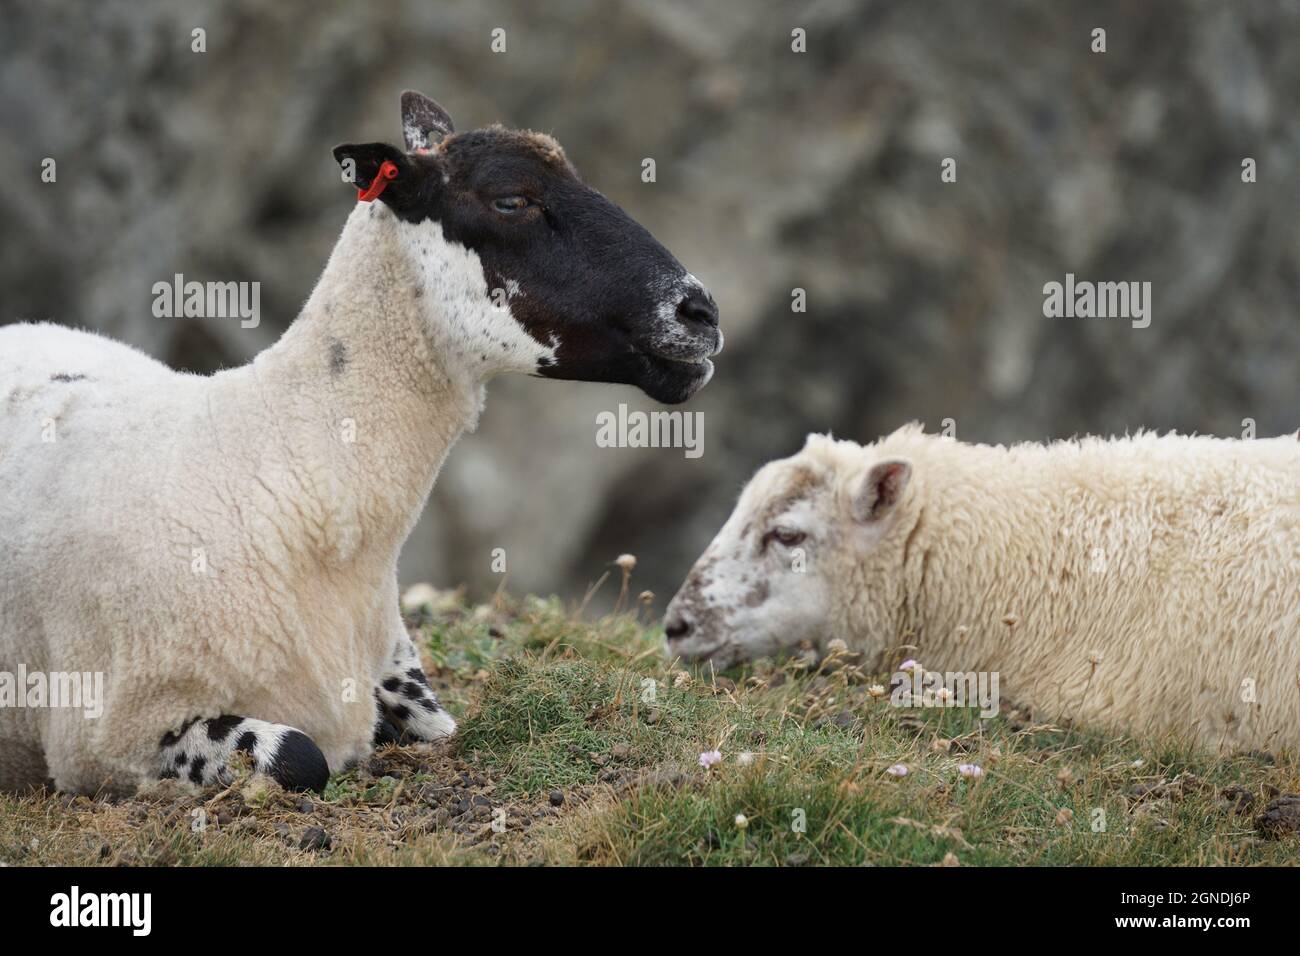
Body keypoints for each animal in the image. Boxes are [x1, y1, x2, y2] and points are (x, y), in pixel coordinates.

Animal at [0, 90, 722, 795]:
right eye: (510, 200)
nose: (702, 312)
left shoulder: (397, 669)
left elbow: (437, 726)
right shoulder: (110, 738)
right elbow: (301, 757)